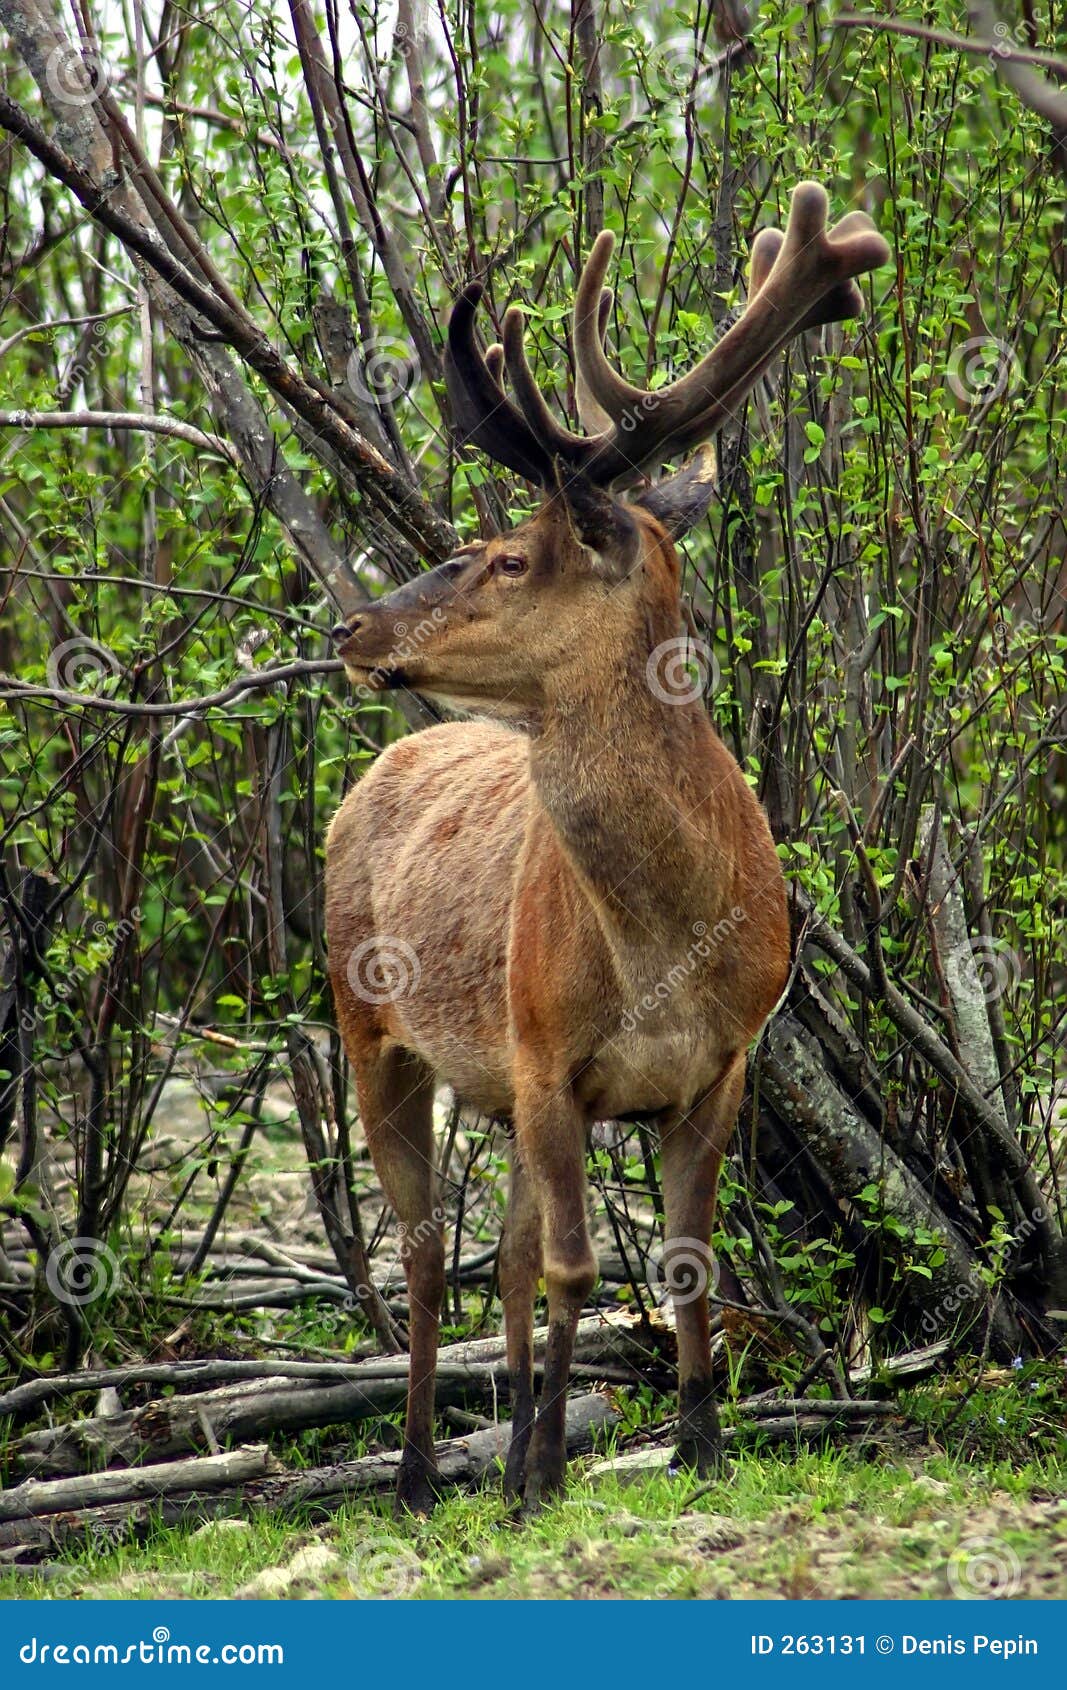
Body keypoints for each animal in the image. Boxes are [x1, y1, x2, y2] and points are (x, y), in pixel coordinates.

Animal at [325, 182, 889, 1516]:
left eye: (509, 556)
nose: (352, 625)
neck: (662, 942)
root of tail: (370, 775)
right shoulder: (545, 1056)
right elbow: (582, 1269)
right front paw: (543, 1474)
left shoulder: (721, 1063)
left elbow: (680, 1256)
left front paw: (697, 1442)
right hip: (369, 1028)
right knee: (428, 1256)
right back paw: (421, 1471)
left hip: (484, 1076)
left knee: (500, 1253)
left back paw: (497, 1446)